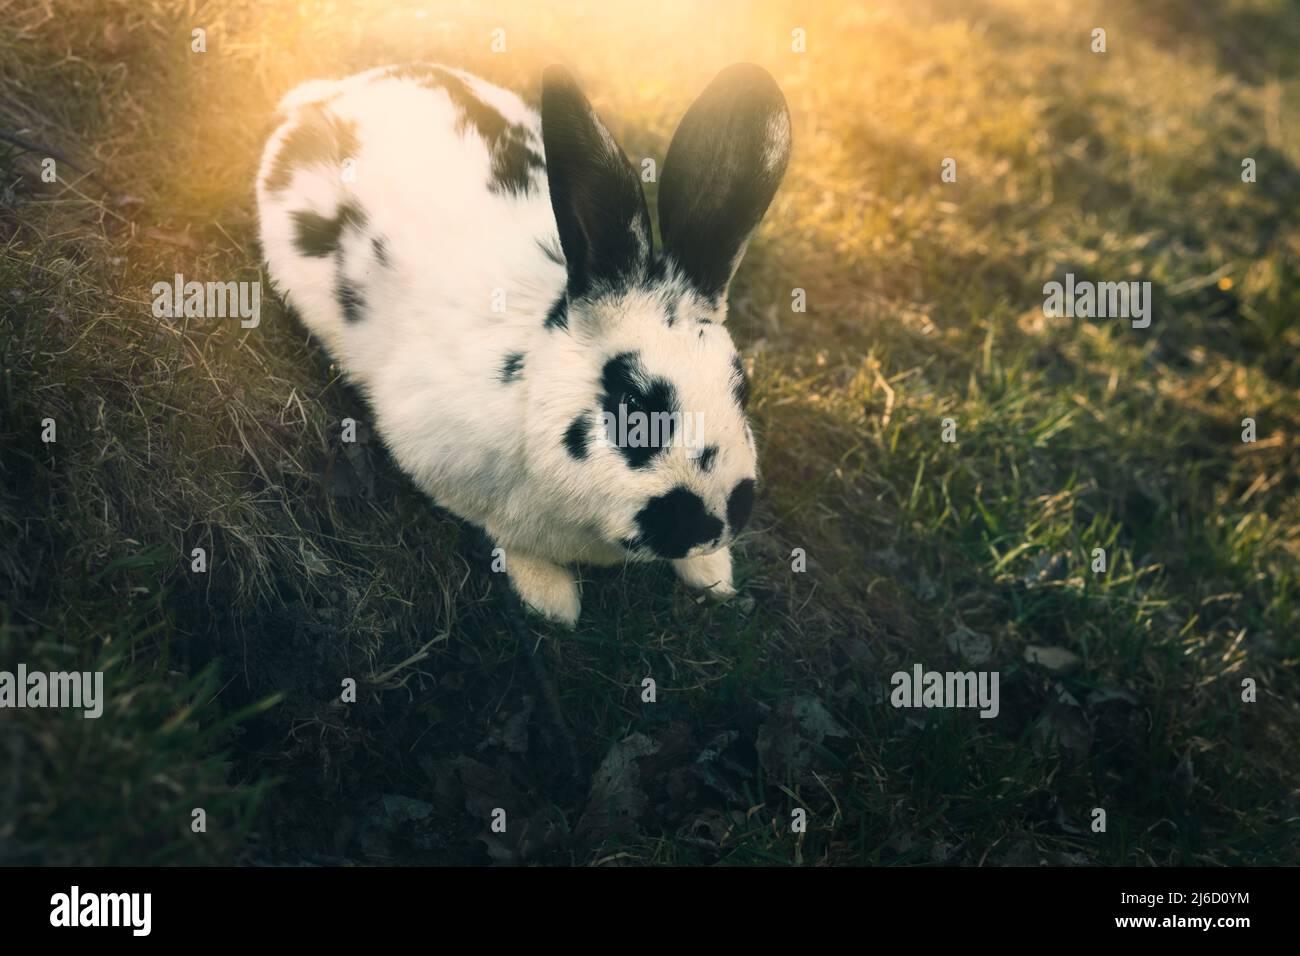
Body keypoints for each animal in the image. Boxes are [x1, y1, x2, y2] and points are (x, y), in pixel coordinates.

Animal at [256, 62, 791, 626]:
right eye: (633, 403)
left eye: (743, 390)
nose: (714, 524)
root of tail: (325, 95)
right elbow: (507, 537)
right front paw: (552, 600)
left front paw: (715, 576)